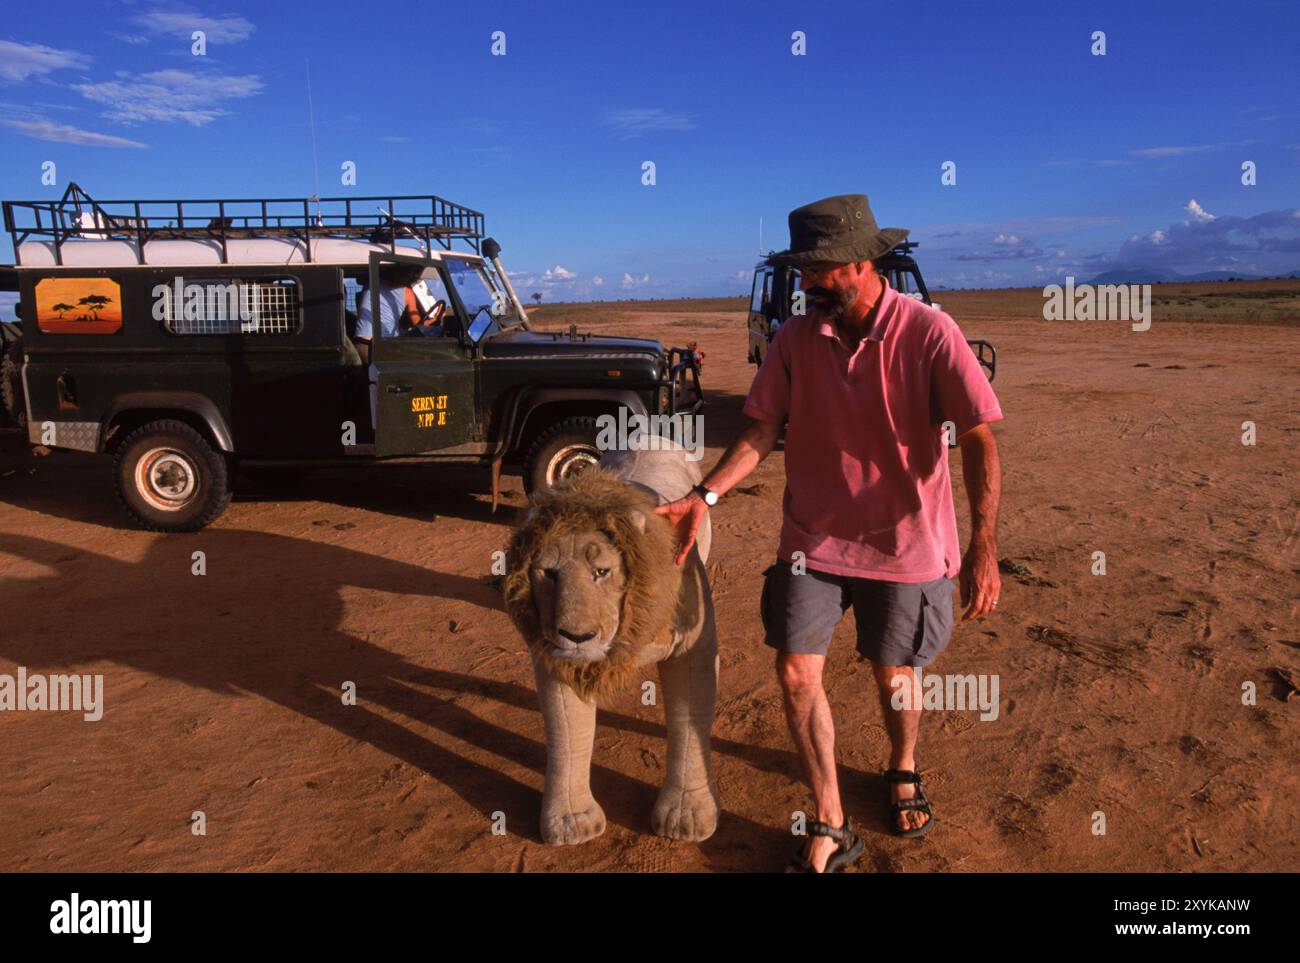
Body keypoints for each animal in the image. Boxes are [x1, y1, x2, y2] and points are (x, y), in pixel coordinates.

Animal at [503, 443, 719, 845]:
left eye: (601, 572)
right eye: (549, 573)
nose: (576, 636)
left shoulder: (693, 647)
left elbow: (689, 724)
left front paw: (687, 816)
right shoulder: (555, 656)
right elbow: (568, 734)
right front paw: (570, 822)